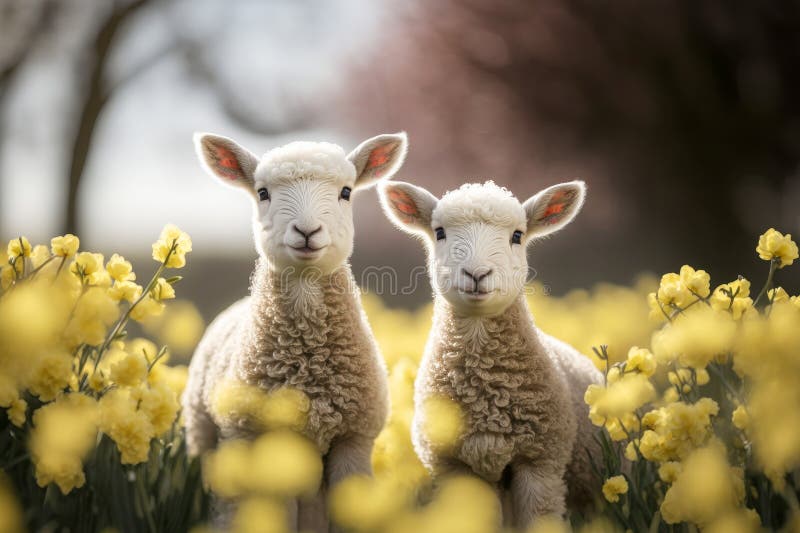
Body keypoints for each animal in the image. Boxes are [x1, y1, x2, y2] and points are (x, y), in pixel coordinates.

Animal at [183, 132, 408, 530]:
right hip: (205, 435)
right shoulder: (263, 440)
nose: (306, 231)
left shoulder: (354, 439)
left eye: (346, 192)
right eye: (262, 193)